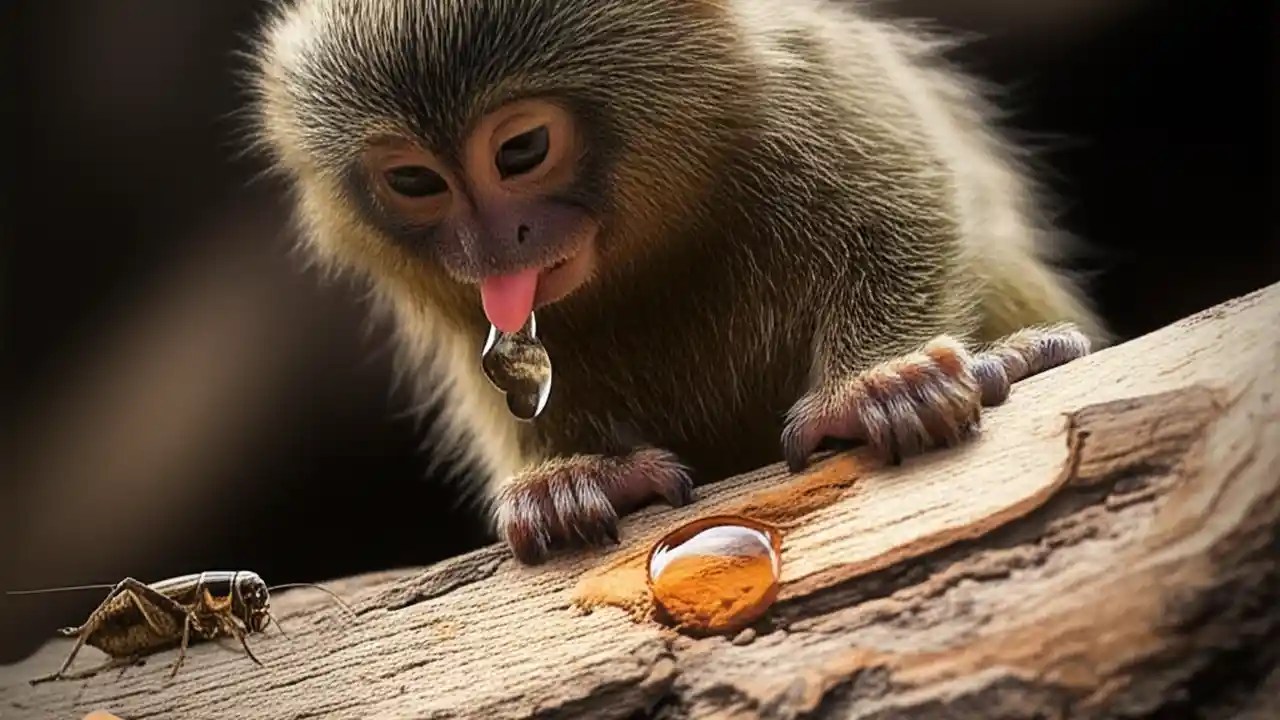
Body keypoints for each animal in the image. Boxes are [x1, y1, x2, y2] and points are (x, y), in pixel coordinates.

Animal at [244, 0, 1107, 565]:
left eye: (522, 150)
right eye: (417, 183)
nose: (494, 244)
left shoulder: (810, 88)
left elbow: (911, 202)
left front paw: (879, 385)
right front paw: (568, 478)